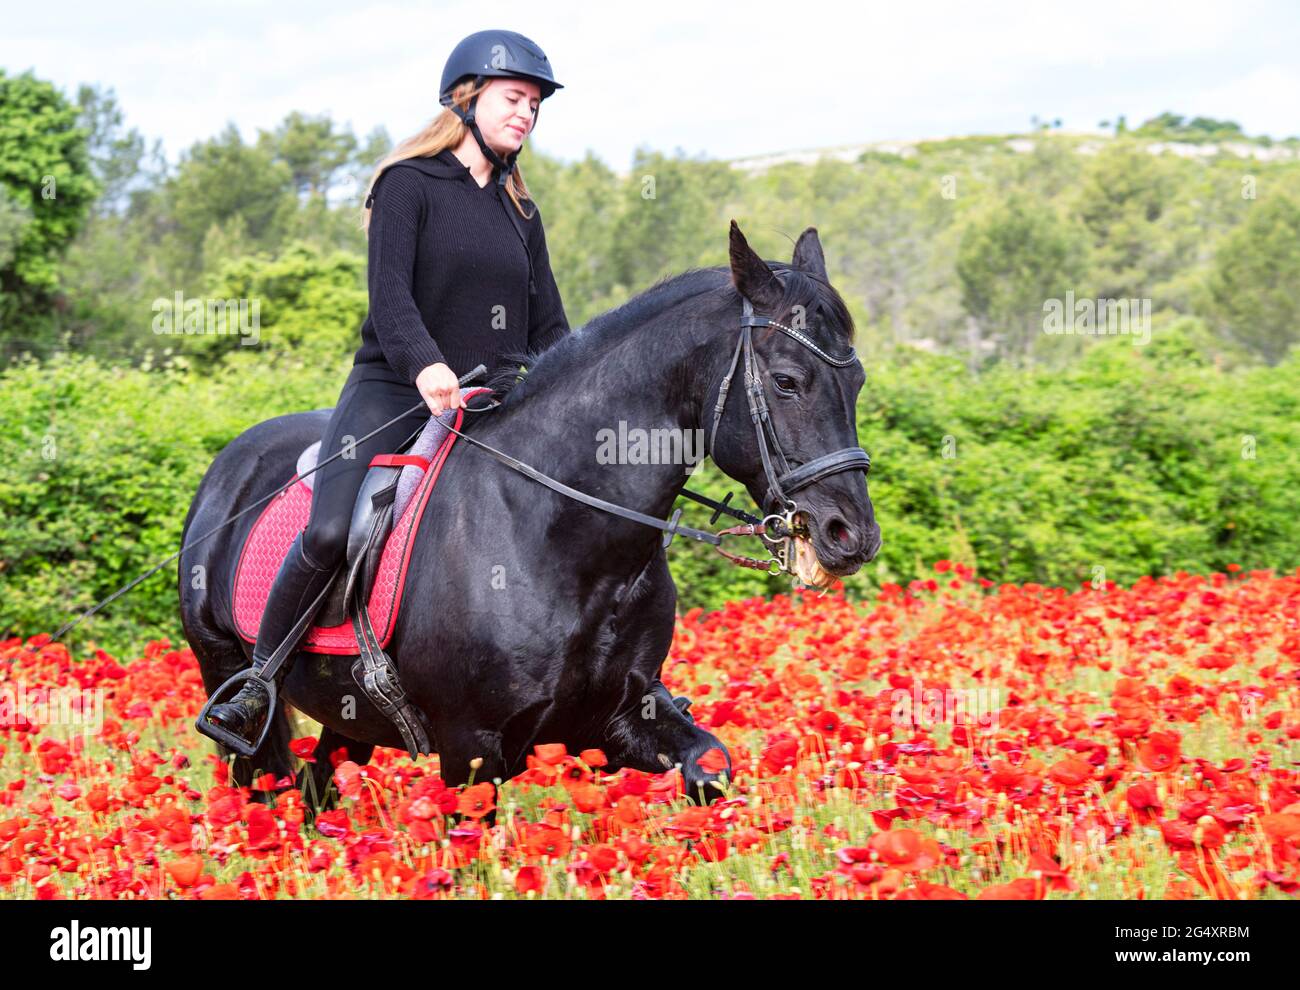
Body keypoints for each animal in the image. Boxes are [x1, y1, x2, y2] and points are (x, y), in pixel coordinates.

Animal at [178, 221, 881, 812]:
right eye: (786, 381)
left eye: (858, 382)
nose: (851, 536)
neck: (556, 534)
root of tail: (230, 465)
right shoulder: (472, 748)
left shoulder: (617, 717)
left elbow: (709, 766)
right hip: (227, 674)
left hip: (346, 717)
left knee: (315, 790)